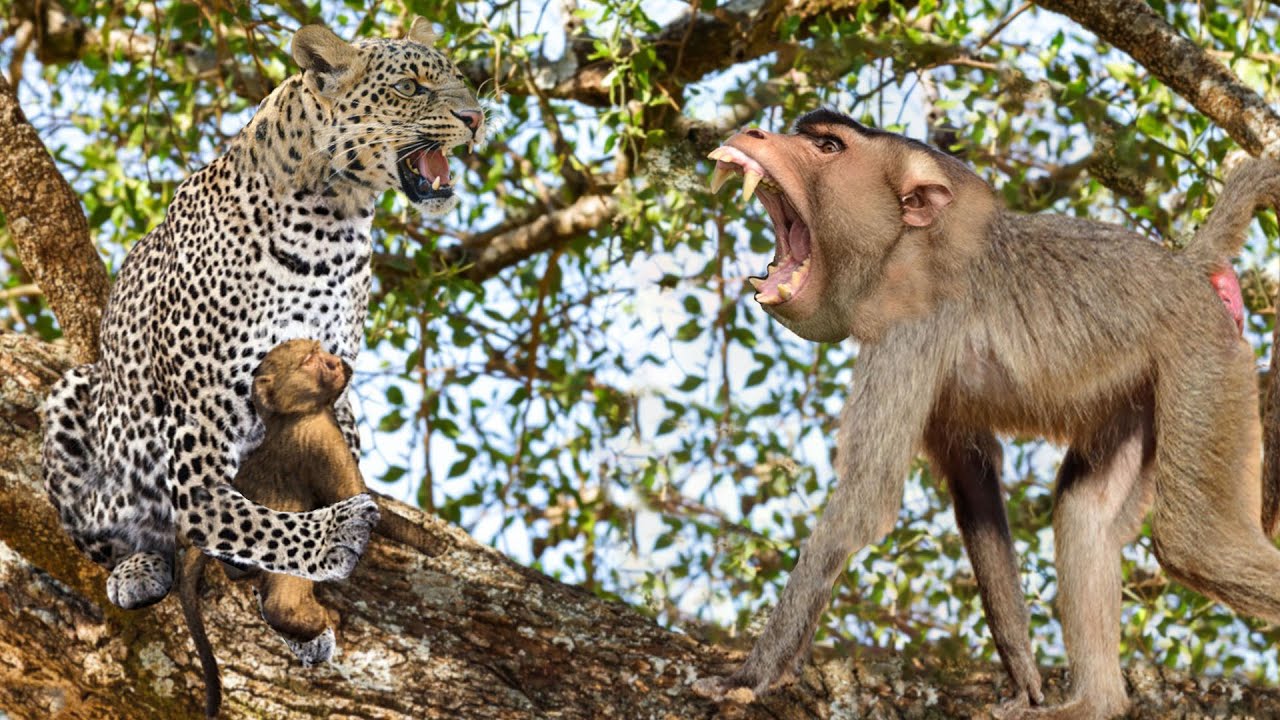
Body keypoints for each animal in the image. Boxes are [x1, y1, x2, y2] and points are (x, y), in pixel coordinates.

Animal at [41, 18, 484, 611]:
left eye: (460, 79)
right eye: (409, 87)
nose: (477, 117)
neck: (330, 226)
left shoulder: (333, 381)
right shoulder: (199, 432)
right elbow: (229, 515)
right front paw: (331, 535)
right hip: (74, 395)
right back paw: (137, 566)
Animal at [177, 339, 446, 718]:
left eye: (319, 350)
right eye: (308, 360)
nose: (335, 361)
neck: (290, 416)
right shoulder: (322, 437)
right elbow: (360, 504)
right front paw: (435, 547)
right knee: (284, 595)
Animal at [693, 108, 1280, 720]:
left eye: (827, 146)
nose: (755, 135)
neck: (912, 248)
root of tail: (1187, 267)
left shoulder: (912, 329)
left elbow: (864, 501)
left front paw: (751, 675)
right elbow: (972, 476)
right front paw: (1022, 673)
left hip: (1204, 358)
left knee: (1194, 546)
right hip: (1144, 392)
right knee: (1084, 511)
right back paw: (1094, 702)